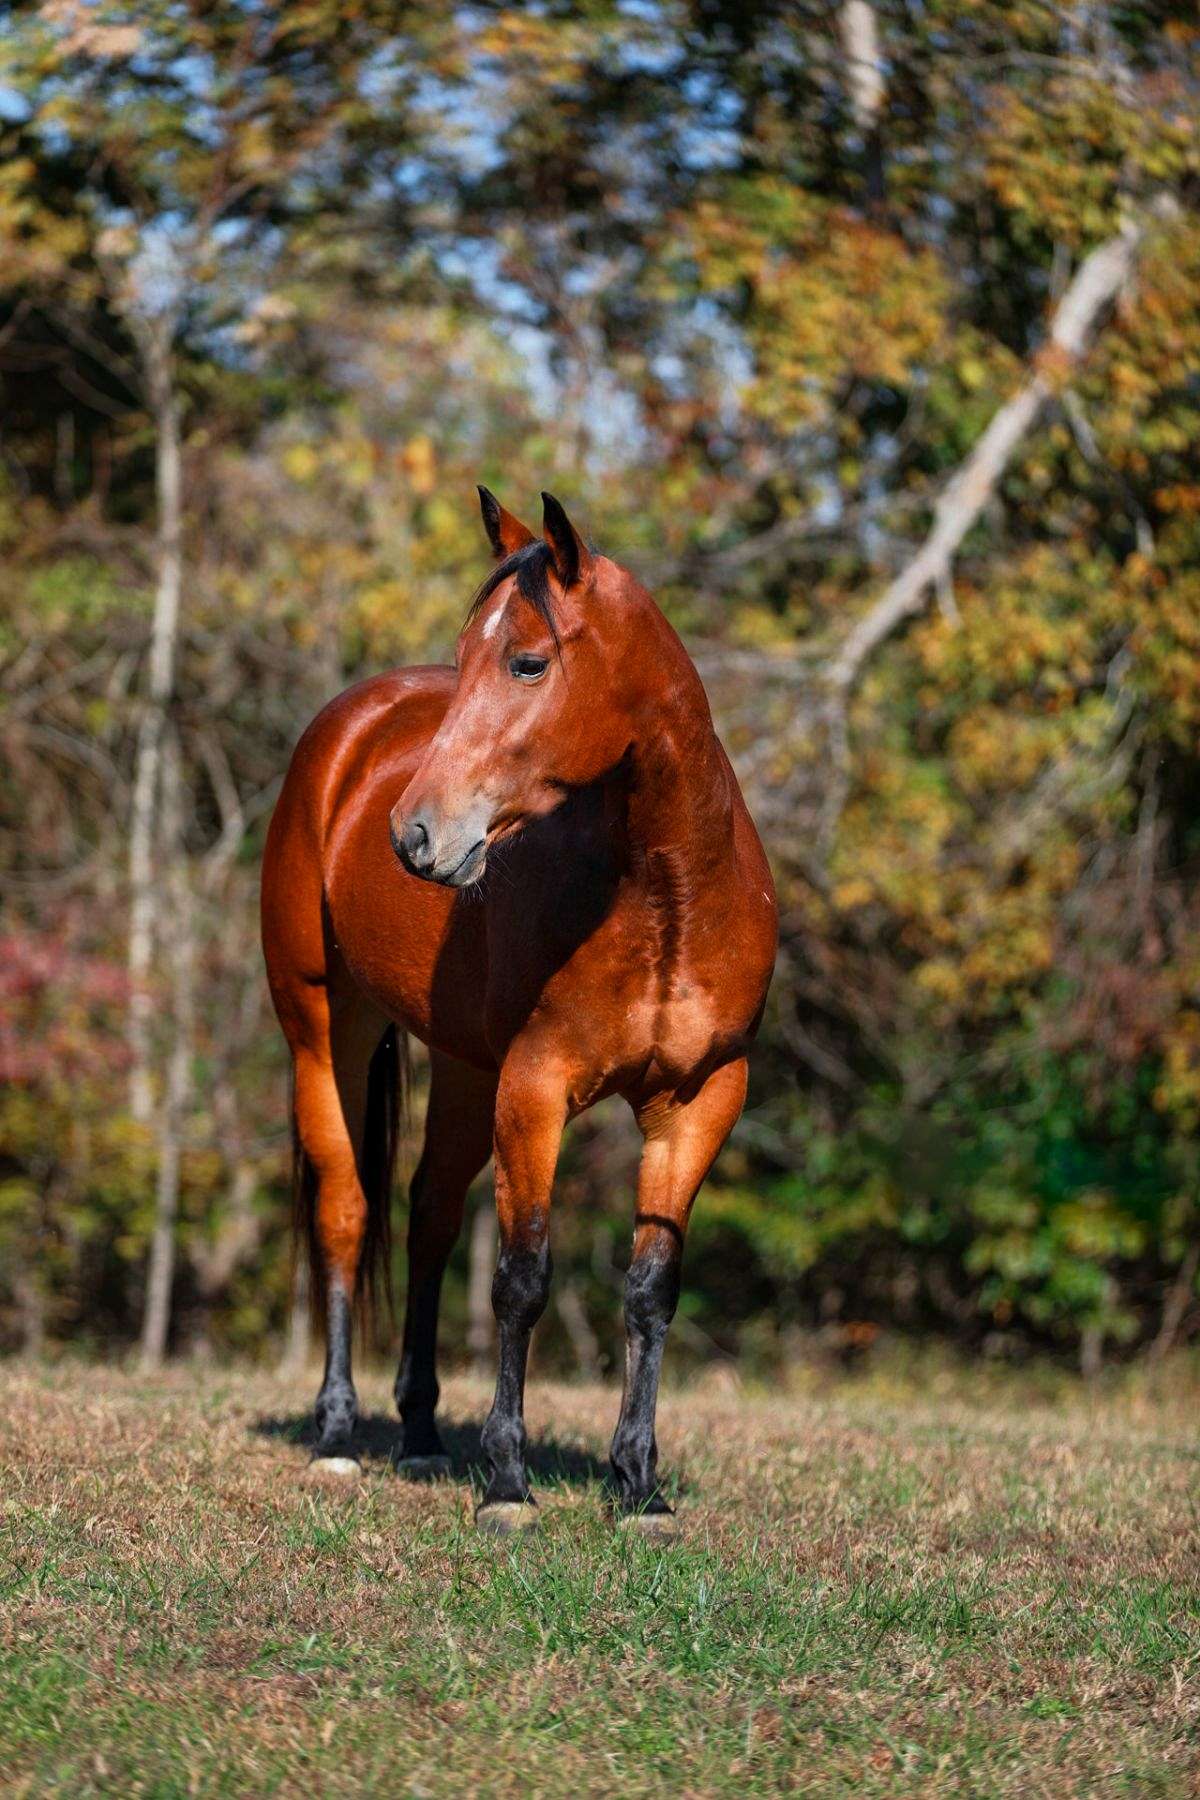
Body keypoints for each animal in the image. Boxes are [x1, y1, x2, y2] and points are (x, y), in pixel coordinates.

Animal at [261, 488, 777, 1536]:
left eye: (528, 661)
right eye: (468, 654)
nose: (414, 836)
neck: (665, 901)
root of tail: (345, 736)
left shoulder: (700, 1100)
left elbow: (651, 1288)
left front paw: (640, 1487)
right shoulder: (537, 1089)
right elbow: (522, 1279)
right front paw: (508, 1482)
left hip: (464, 1068)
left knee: (427, 1214)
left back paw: (420, 1436)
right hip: (324, 1030)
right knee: (347, 1209)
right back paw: (337, 1435)